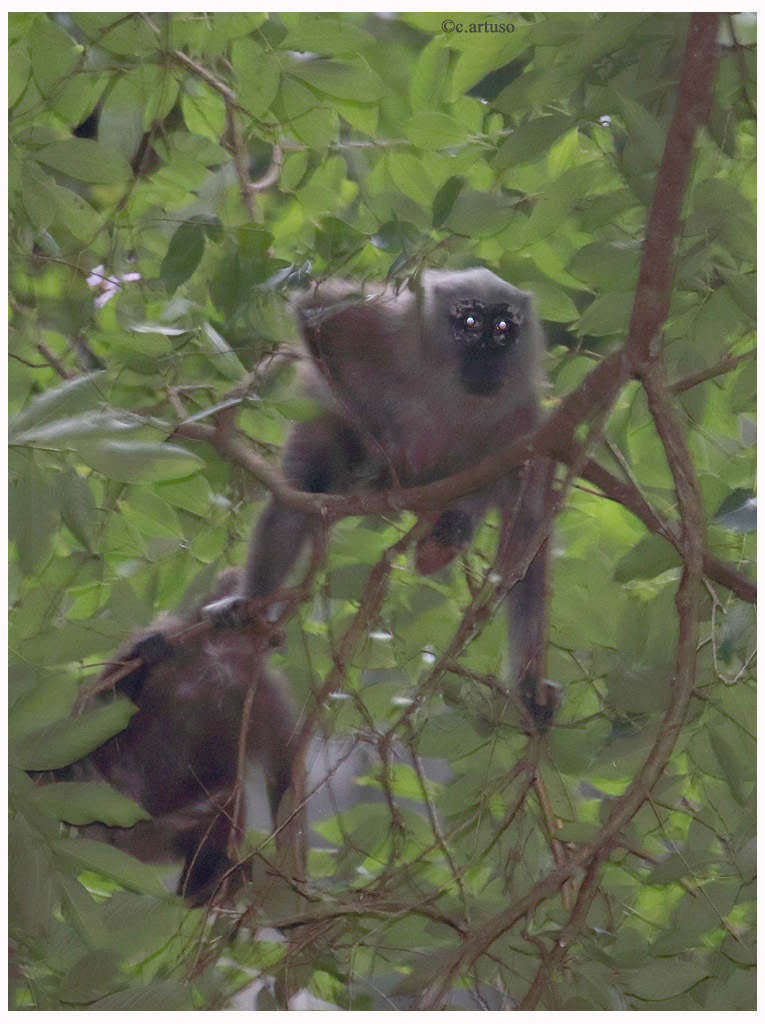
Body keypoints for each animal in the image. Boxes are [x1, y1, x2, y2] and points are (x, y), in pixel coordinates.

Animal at [57, 570, 298, 904]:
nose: (240, 605)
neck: (216, 656)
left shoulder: (264, 690)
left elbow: (283, 773)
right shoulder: (172, 633)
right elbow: (101, 703)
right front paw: (147, 657)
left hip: (154, 834)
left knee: (223, 799)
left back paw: (202, 883)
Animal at [208, 268, 555, 731]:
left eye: (503, 328)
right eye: (469, 323)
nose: (487, 357)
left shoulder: (528, 423)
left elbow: (528, 537)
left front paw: (531, 684)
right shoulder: (389, 329)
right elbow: (316, 312)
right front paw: (377, 444)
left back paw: (445, 535)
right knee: (295, 504)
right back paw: (251, 605)